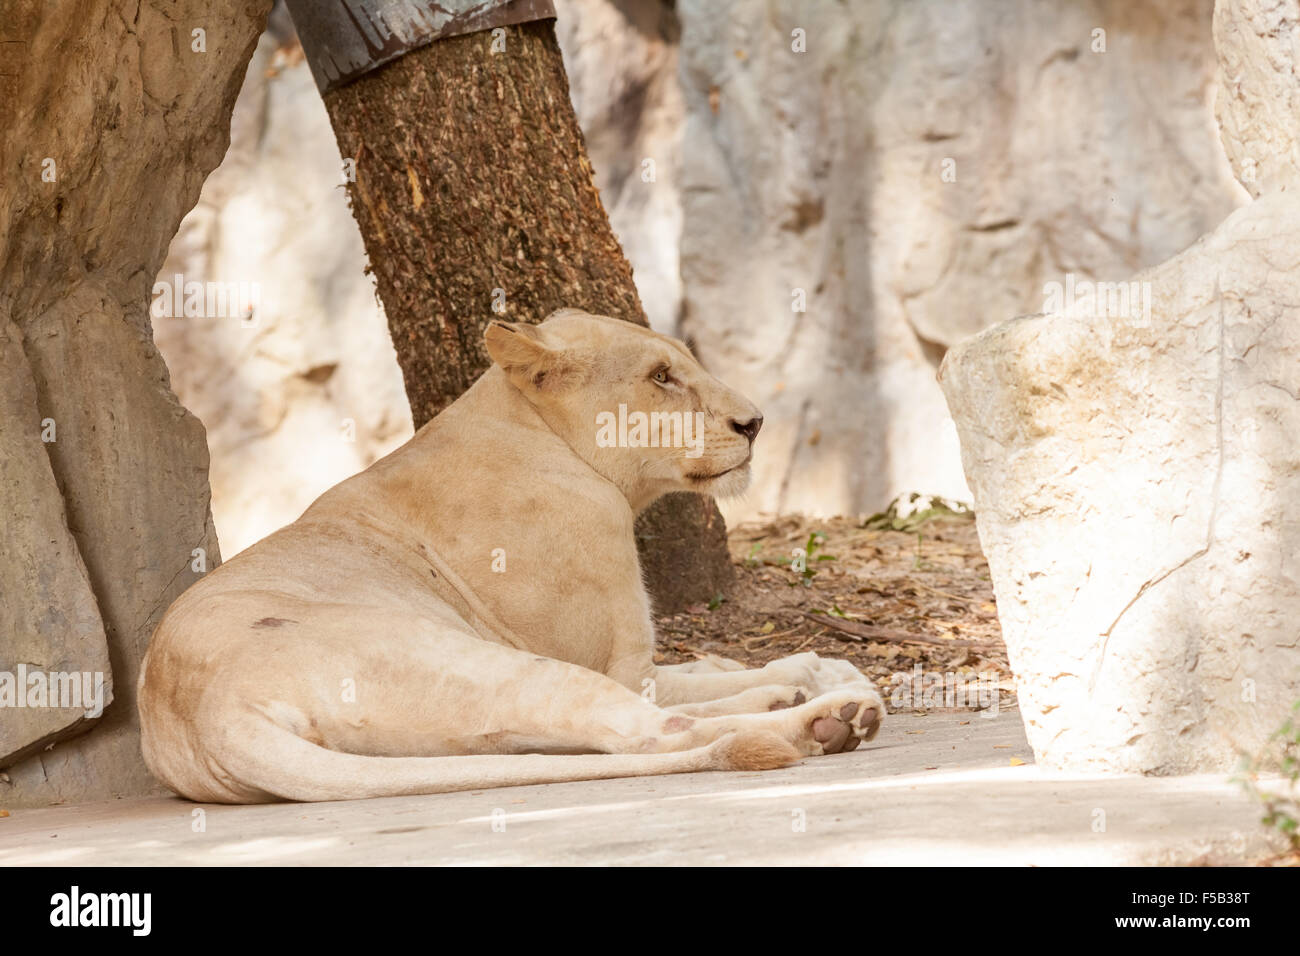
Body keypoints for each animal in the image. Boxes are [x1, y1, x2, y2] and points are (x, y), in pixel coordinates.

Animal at [138, 309, 885, 803]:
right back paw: (827, 719)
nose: (754, 423)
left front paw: (811, 666)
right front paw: (821, 678)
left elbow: (713, 669)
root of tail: (209, 714)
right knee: (650, 732)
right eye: (661, 376)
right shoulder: (620, 659)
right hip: (495, 664)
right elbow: (681, 687)